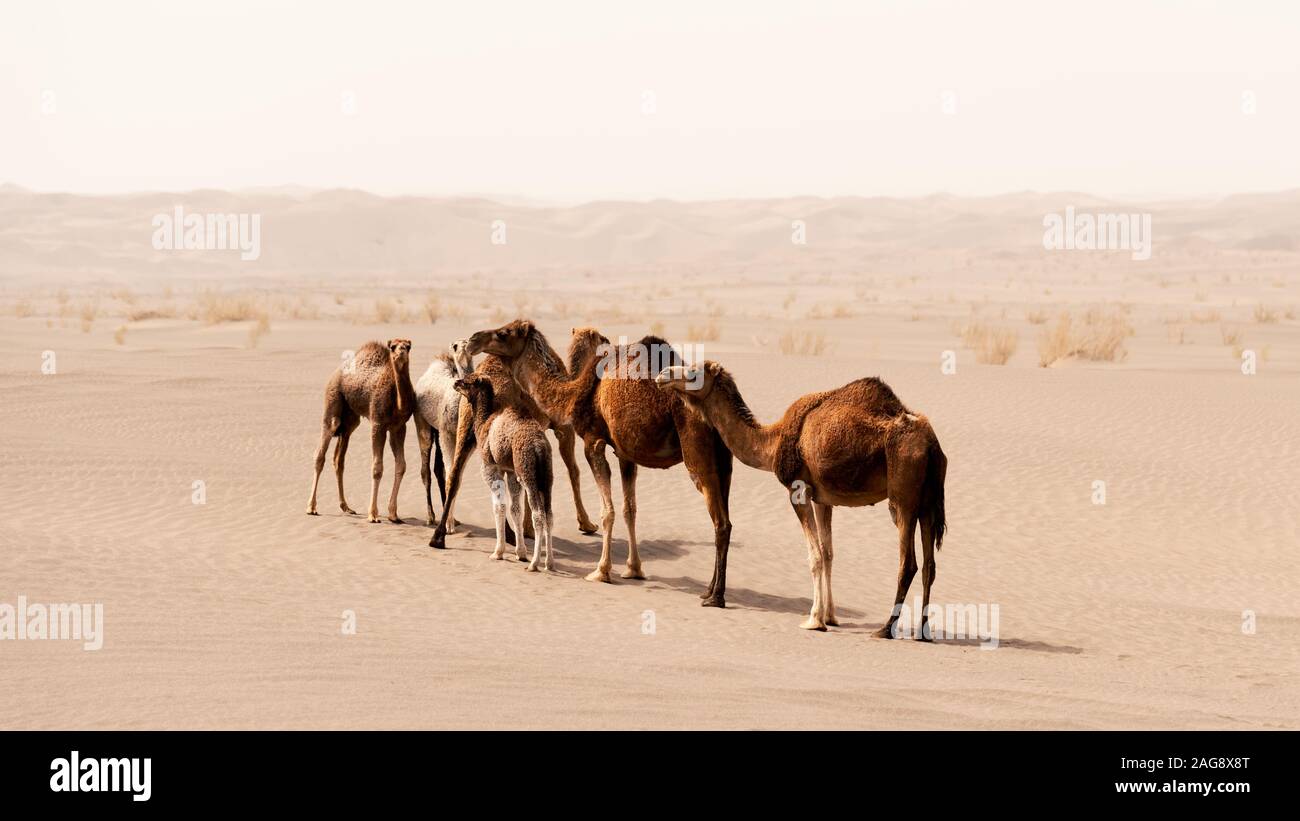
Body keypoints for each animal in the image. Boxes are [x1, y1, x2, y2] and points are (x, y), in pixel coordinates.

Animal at [307, 339, 417, 523]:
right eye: (393, 346)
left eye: (408, 346)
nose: (401, 351)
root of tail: (337, 371)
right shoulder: (378, 424)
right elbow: (377, 468)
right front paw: (373, 514)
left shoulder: (399, 427)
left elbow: (401, 465)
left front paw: (394, 514)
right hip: (333, 400)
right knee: (321, 452)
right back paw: (311, 507)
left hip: (350, 420)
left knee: (339, 459)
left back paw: (346, 506)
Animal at [413, 339, 474, 530]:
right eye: (456, 346)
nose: (465, 345)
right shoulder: (447, 434)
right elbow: (451, 476)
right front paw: (448, 526)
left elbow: (457, 477)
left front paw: (451, 522)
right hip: (423, 424)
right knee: (426, 470)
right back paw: (430, 517)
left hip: (438, 431)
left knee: (438, 469)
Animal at [453, 372, 555, 571]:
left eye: (467, 381)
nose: (455, 383)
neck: (483, 423)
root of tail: (539, 447)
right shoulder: (511, 472)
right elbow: (516, 509)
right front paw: (520, 552)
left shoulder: (491, 468)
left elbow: (498, 507)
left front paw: (498, 552)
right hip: (547, 475)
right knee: (549, 514)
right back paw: (549, 562)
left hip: (528, 472)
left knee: (538, 514)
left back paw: (534, 563)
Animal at [655, 362, 947, 638]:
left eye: (694, 371)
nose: (662, 373)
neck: (773, 442)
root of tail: (931, 445)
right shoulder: (823, 498)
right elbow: (828, 553)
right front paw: (830, 616)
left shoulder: (798, 490)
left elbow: (814, 555)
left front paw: (814, 620)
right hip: (929, 502)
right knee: (929, 566)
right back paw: (923, 632)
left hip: (903, 495)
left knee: (908, 562)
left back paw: (885, 629)